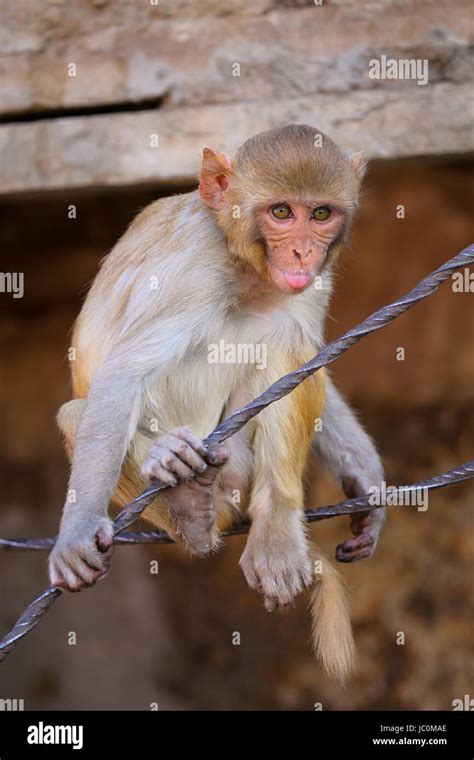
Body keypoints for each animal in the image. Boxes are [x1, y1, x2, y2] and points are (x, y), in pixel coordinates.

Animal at [49, 124, 385, 682]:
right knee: (81, 414)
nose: (301, 255)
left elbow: (312, 354)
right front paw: (75, 533)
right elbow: (123, 373)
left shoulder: (317, 280)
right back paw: (185, 497)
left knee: (286, 333)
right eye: (281, 212)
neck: (243, 260)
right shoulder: (194, 268)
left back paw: (270, 523)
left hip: (239, 466)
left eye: (320, 214)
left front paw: (367, 480)